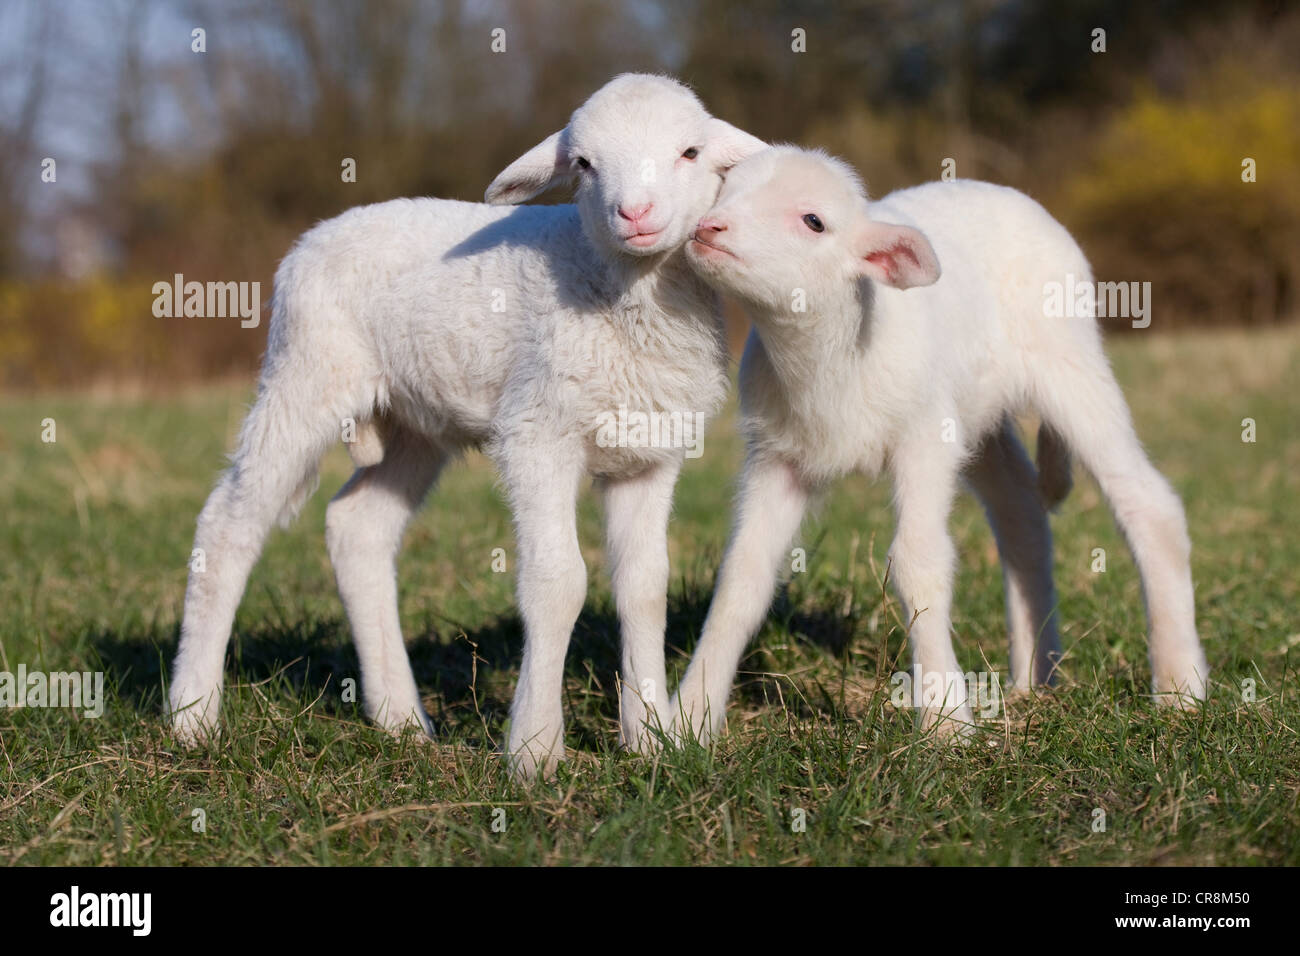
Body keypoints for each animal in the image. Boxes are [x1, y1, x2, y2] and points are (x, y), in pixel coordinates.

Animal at [166, 73, 766, 779]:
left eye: (691, 152)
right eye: (583, 165)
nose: (636, 214)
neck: (620, 287)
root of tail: (313, 237)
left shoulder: (649, 453)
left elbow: (645, 587)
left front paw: (650, 740)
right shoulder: (537, 435)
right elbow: (558, 584)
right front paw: (536, 751)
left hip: (410, 424)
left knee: (358, 528)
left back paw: (401, 719)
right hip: (306, 373)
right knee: (229, 524)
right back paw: (194, 716)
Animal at [669, 146, 1210, 741]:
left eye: (814, 221)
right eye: (723, 191)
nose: (709, 227)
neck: (830, 355)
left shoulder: (924, 438)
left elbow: (917, 562)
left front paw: (946, 718)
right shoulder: (777, 457)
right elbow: (742, 577)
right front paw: (686, 719)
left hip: (1069, 361)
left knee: (1149, 504)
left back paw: (1180, 686)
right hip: (977, 412)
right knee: (1021, 512)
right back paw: (1035, 678)